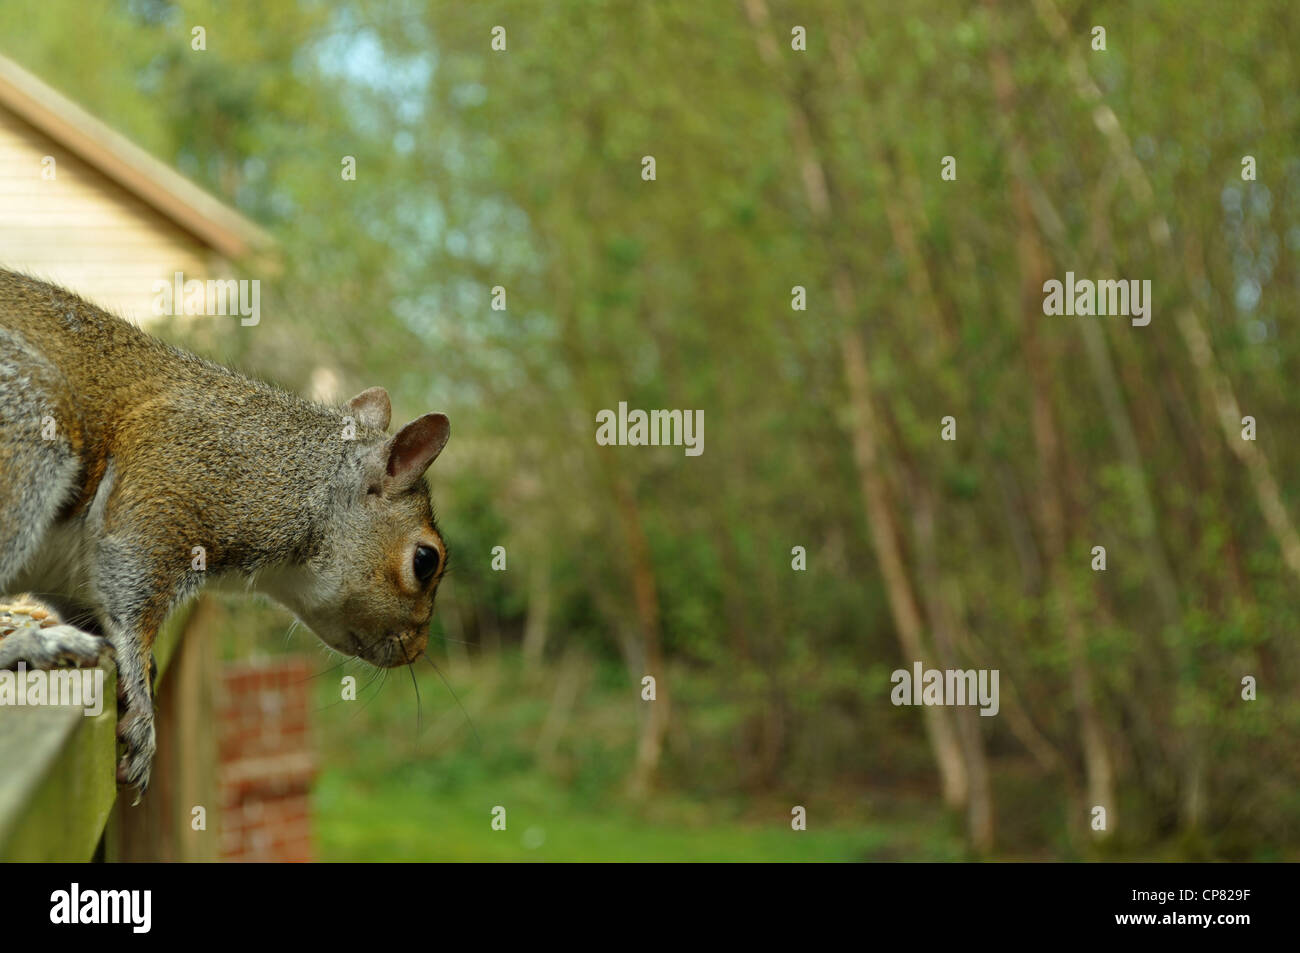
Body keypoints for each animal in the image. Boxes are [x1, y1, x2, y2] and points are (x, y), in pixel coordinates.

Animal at [0, 268, 451, 801]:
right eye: (426, 560)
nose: (415, 650)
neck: (306, 480)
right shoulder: (172, 487)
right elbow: (132, 600)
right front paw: (141, 702)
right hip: (28, 427)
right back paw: (29, 646)